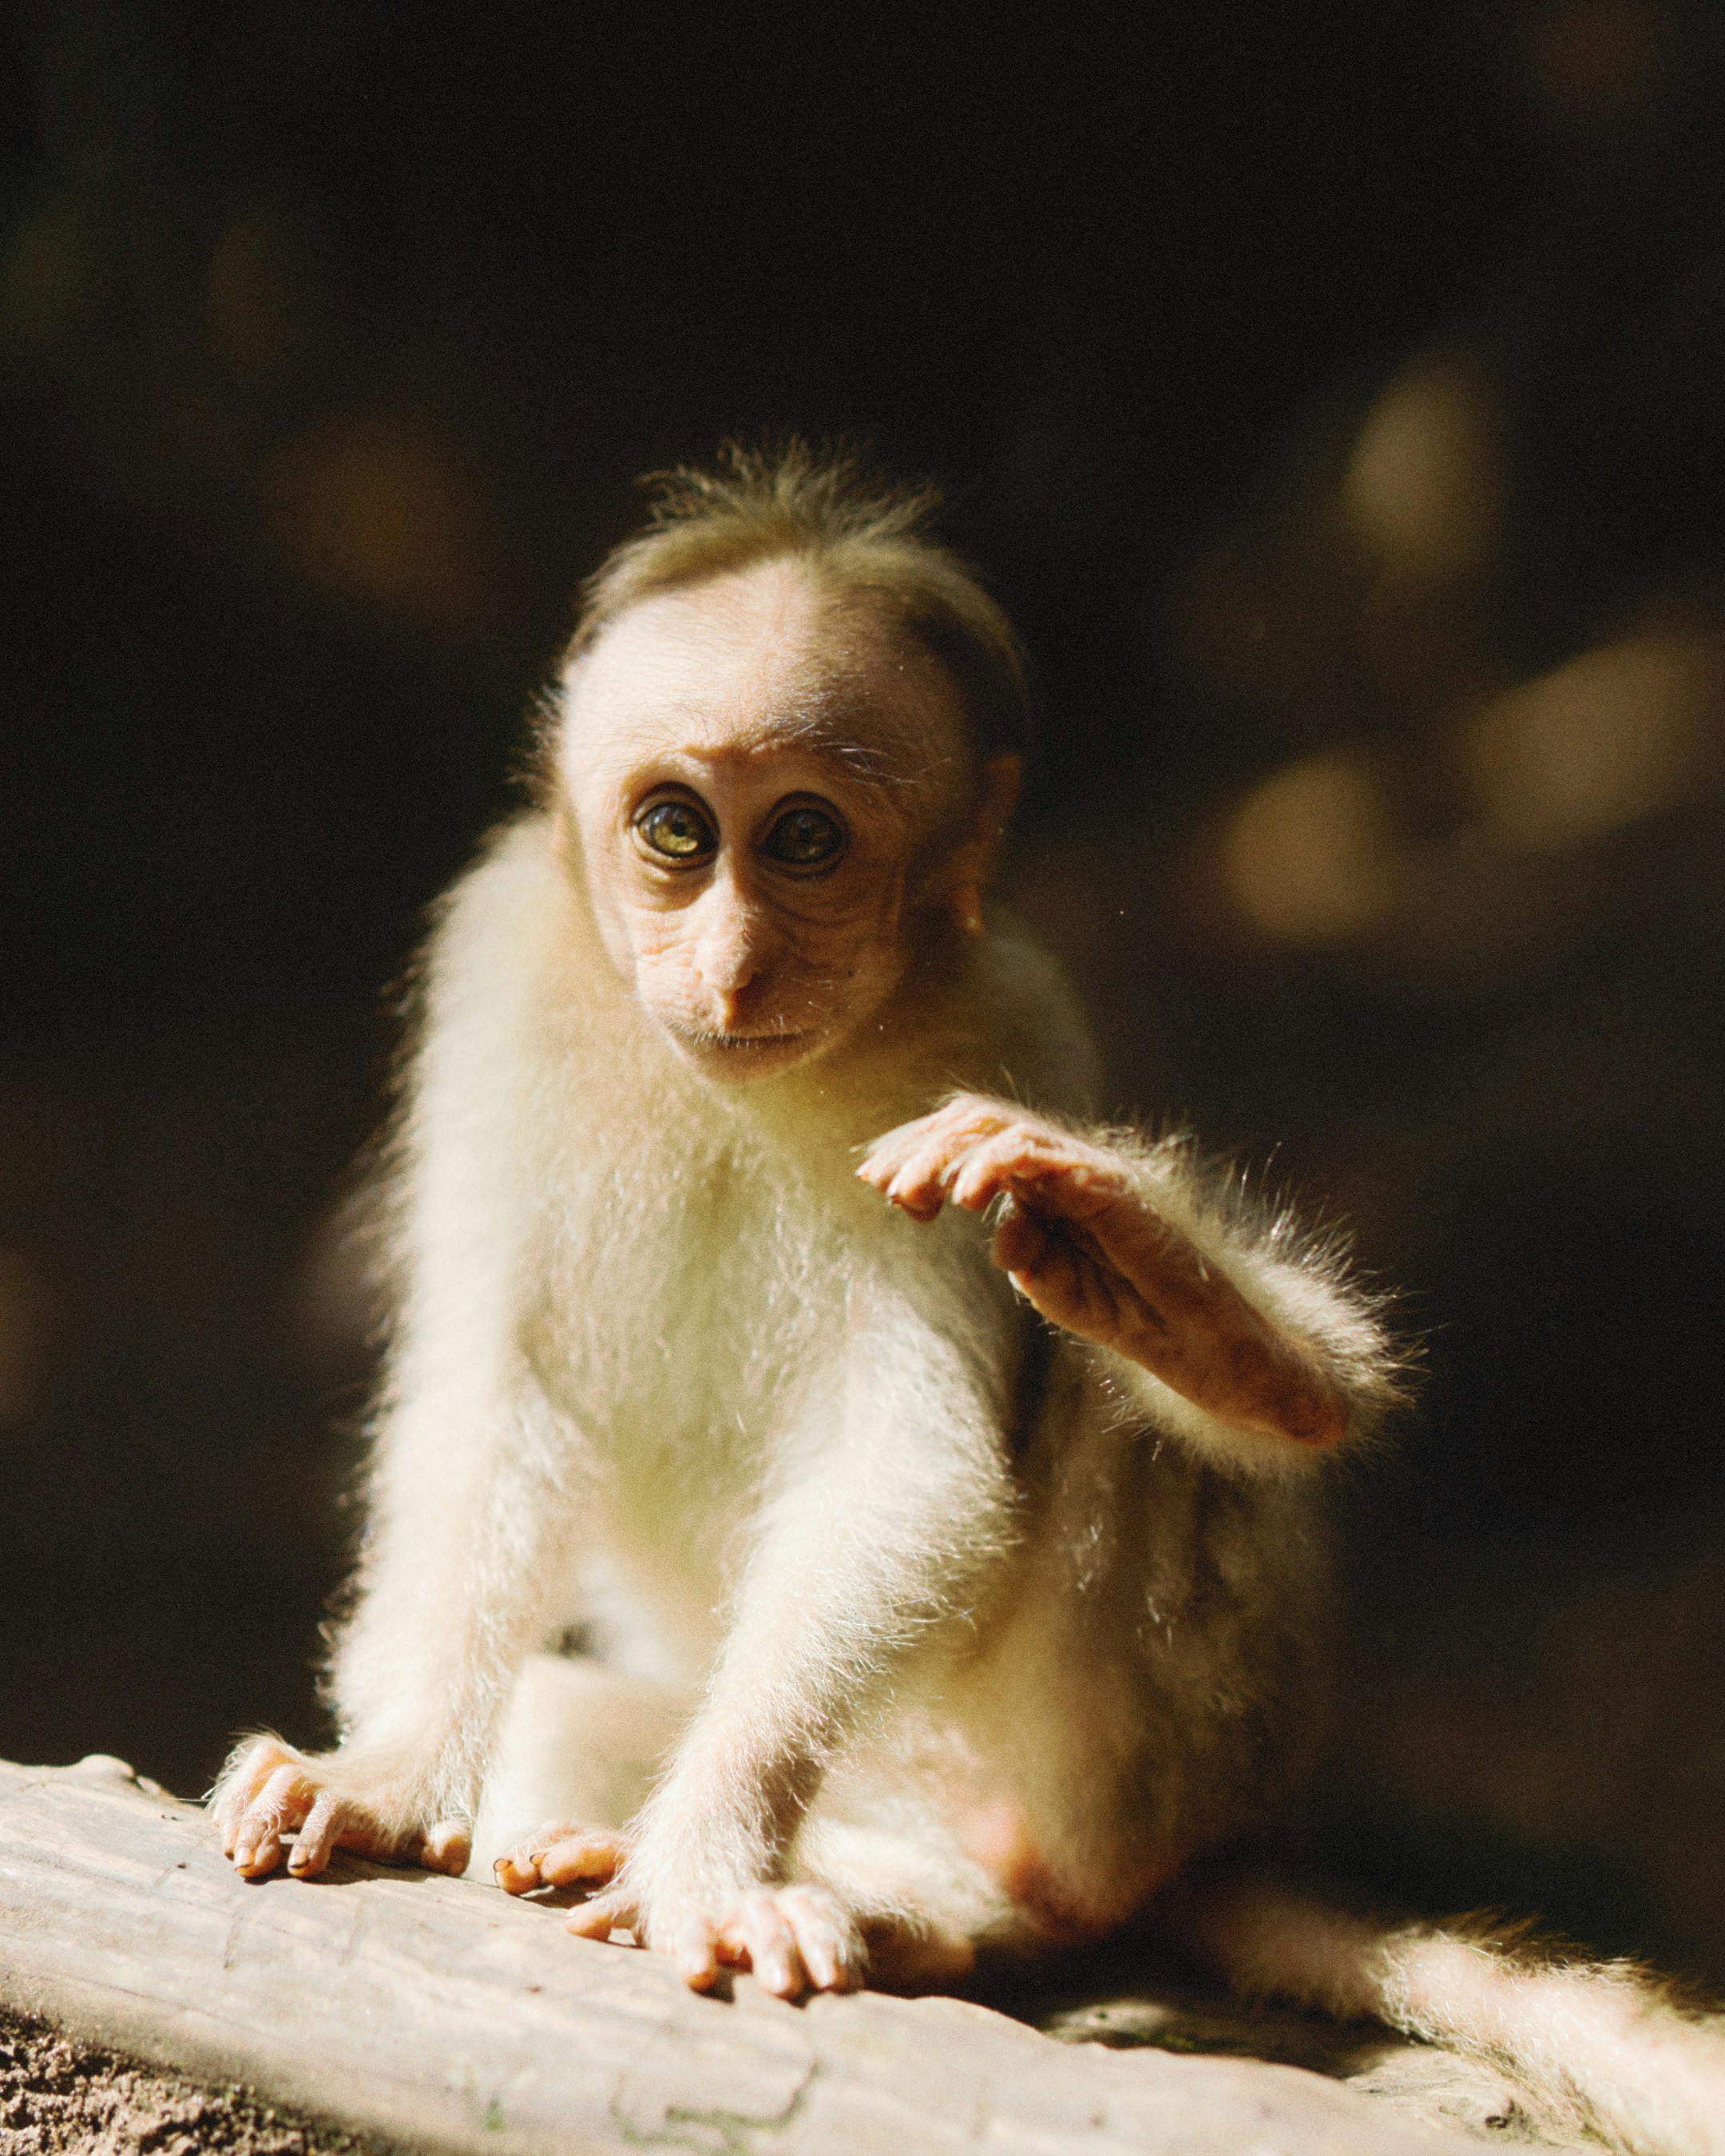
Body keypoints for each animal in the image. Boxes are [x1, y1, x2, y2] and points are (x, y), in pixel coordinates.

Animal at [213, 448, 1725, 2154]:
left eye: (804, 841)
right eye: (675, 829)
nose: (731, 964)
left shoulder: (994, 1032)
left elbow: (910, 1453)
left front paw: (705, 1855)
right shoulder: (502, 977)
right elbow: (492, 1392)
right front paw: (393, 1776)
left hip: (1142, 1776)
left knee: (1129, 1442)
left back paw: (1174, 1329)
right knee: (561, 1701)